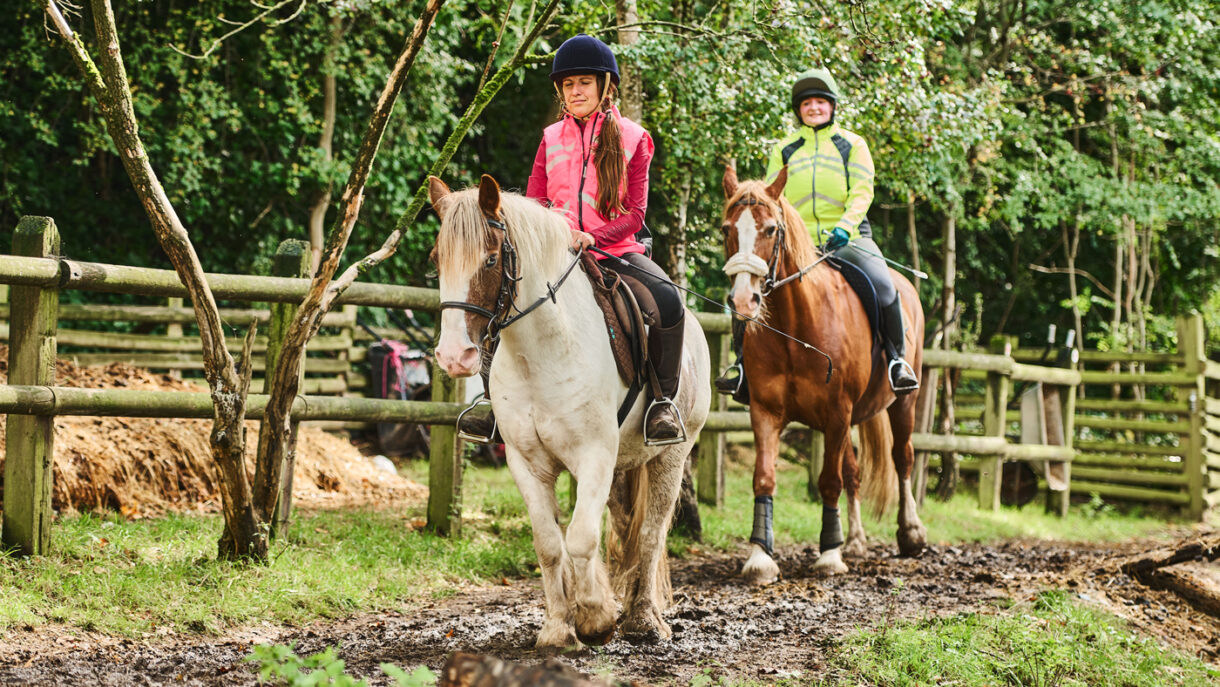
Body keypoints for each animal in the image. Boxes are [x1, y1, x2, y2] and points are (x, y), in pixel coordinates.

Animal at [428, 174, 711, 648]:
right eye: (437, 261)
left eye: (490, 259)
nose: (454, 356)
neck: (540, 352)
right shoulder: (527, 462)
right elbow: (549, 543)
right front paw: (560, 626)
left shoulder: (594, 454)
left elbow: (580, 538)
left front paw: (595, 619)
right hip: (623, 463)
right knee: (624, 527)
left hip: (671, 454)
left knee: (651, 534)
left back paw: (642, 620)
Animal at [720, 164, 927, 585]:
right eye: (726, 229)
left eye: (771, 229)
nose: (743, 301)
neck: (795, 327)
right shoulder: (765, 412)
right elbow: (764, 477)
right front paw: (760, 556)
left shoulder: (836, 412)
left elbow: (829, 481)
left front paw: (829, 554)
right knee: (854, 472)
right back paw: (857, 540)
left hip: (903, 402)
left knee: (903, 458)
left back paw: (911, 532)